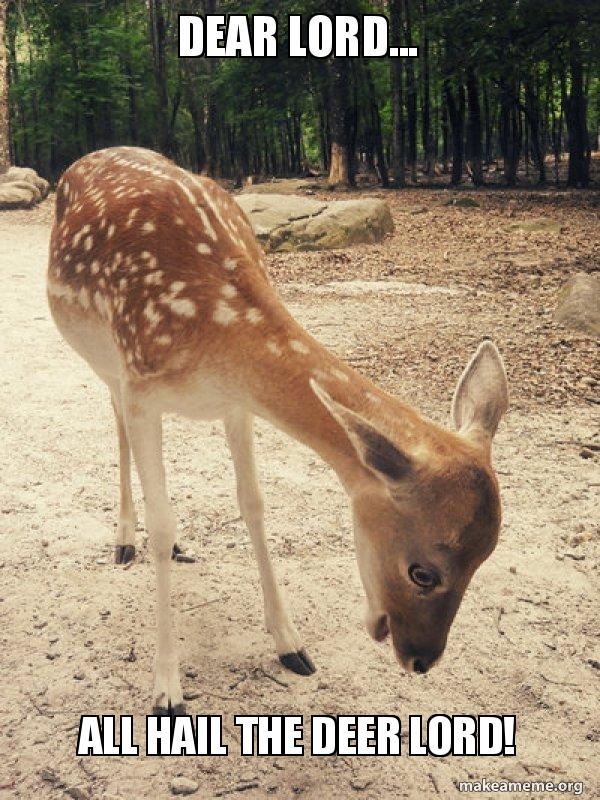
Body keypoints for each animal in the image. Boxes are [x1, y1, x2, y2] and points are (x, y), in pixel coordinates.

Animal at [47, 147, 509, 716]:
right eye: (422, 572)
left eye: (485, 559)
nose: (421, 659)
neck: (212, 333)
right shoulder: (140, 389)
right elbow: (162, 523)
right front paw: (167, 689)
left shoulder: (238, 404)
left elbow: (253, 503)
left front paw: (291, 644)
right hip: (105, 362)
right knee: (115, 426)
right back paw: (124, 540)